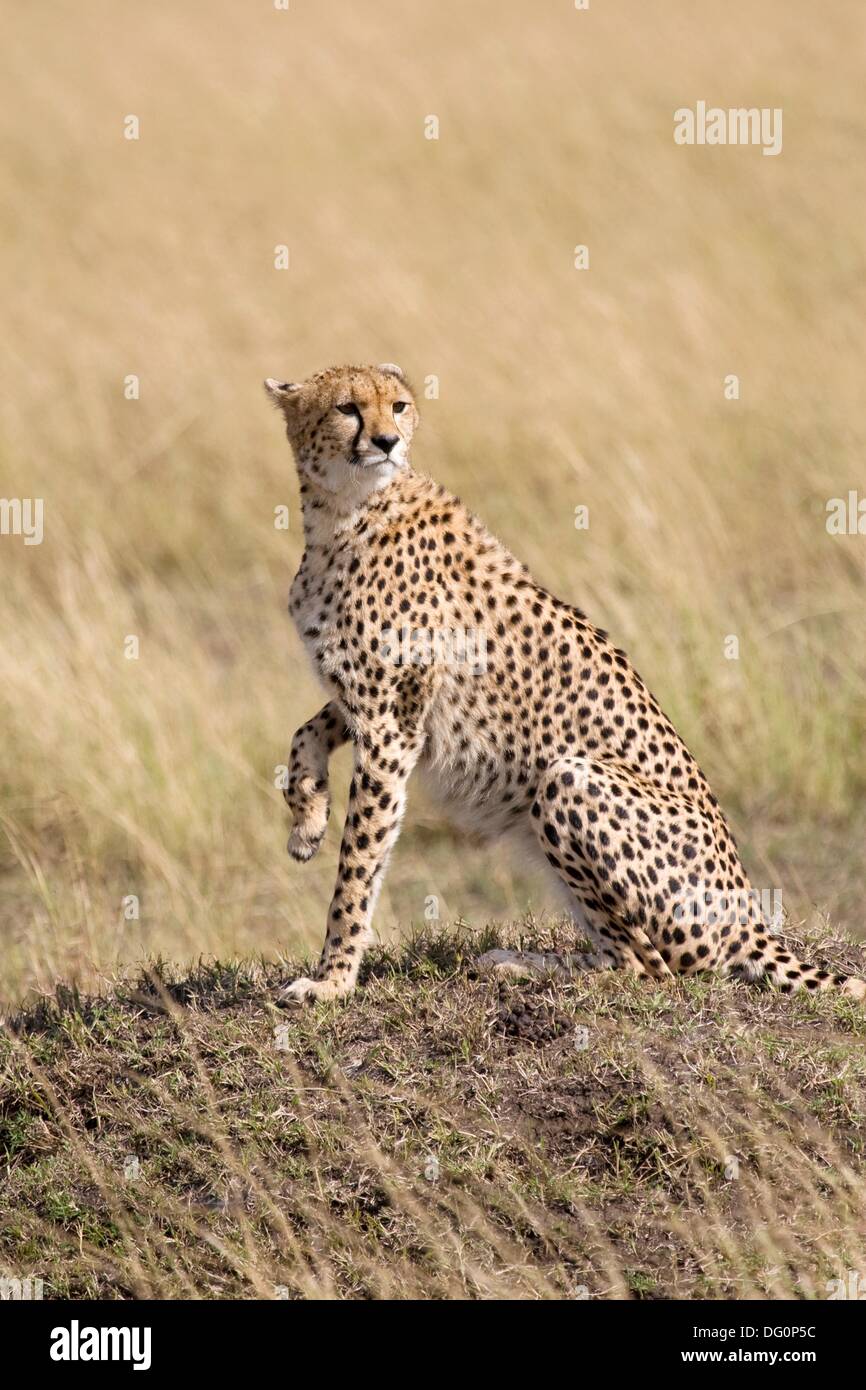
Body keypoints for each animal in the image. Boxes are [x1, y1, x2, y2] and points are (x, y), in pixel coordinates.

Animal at [264, 362, 865, 1006]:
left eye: (398, 406)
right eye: (347, 408)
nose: (386, 442)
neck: (341, 511)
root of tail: (750, 919)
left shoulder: (390, 723)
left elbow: (360, 861)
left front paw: (331, 980)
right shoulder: (376, 705)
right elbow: (306, 731)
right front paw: (307, 821)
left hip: (567, 780)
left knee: (646, 966)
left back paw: (522, 966)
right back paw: (513, 961)